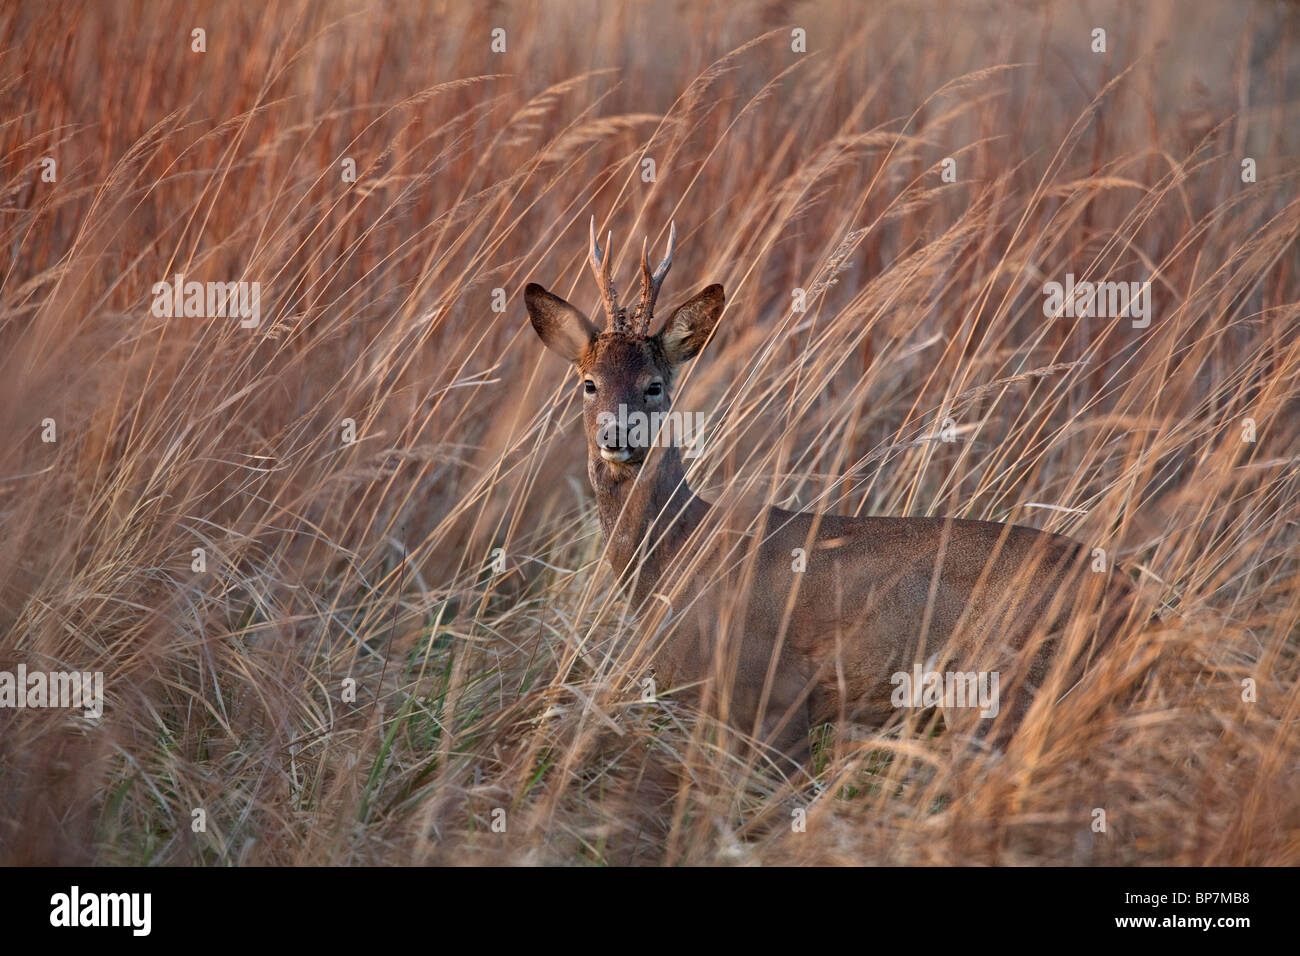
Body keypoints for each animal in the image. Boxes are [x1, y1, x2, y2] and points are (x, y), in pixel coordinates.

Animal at [525, 218, 1135, 766]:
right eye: (588, 383)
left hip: (999, 690)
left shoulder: (777, 697)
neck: (680, 554)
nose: (617, 435)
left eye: (654, 385)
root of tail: (1130, 597)